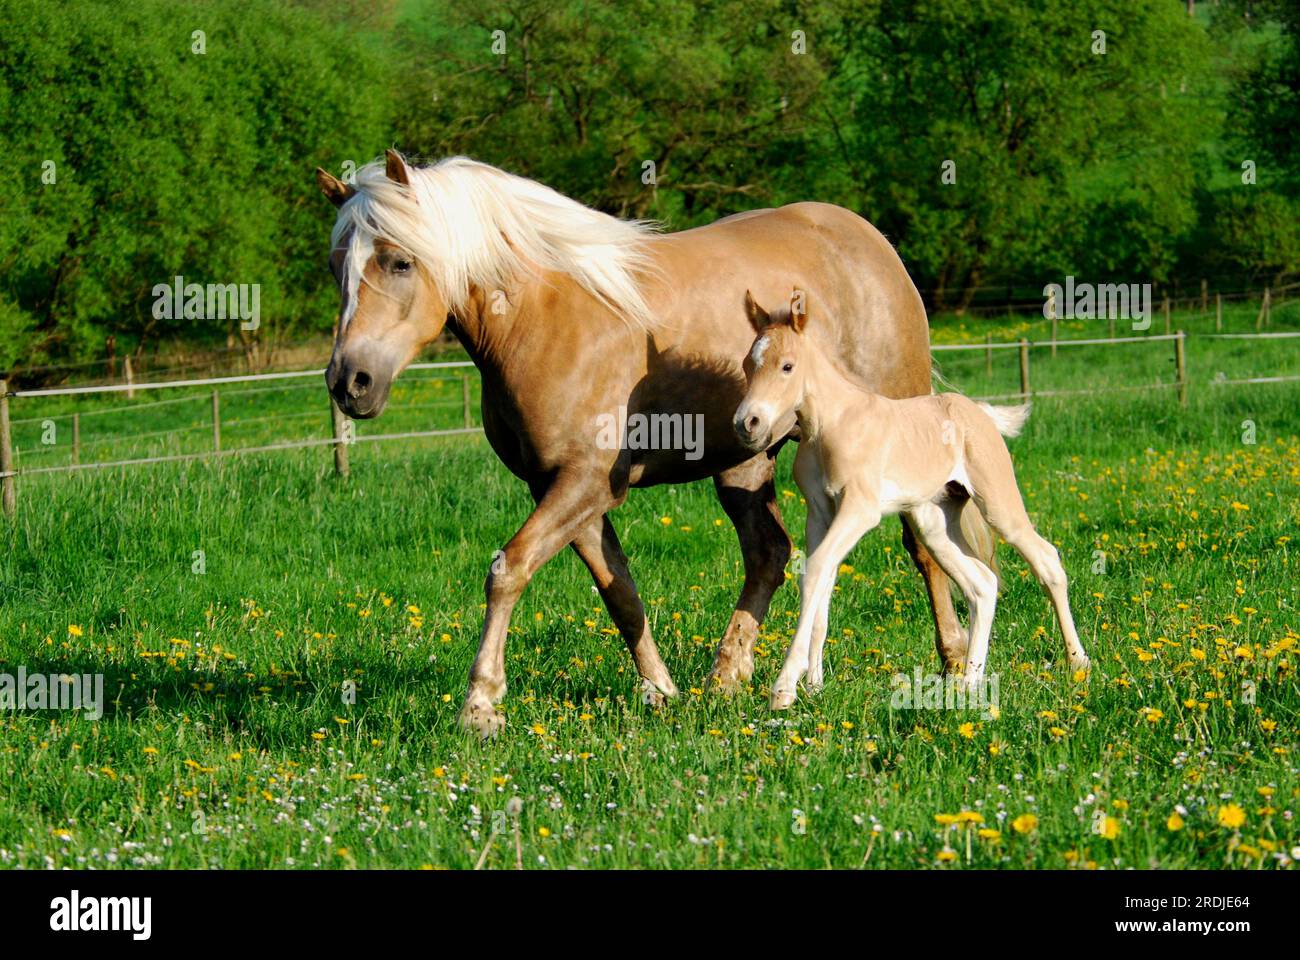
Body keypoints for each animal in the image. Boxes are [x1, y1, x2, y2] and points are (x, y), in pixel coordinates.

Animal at [315, 149, 992, 735]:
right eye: (335, 265)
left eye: (399, 261)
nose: (350, 381)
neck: (545, 321)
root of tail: (875, 248)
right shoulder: (562, 490)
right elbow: (618, 592)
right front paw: (660, 691)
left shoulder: (585, 482)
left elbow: (507, 570)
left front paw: (480, 706)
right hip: (746, 460)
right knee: (770, 554)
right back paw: (726, 679)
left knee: (919, 548)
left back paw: (953, 665)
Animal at [733, 290, 1091, 709]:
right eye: (747, 363)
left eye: (787, 366)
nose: (747, 423)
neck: (830, 425)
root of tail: (979, 412)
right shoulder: (820, 513)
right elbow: (823, 579)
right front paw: (814, 684)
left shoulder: (860, 509)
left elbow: (816, 570)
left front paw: (784, 689)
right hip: (936, 523)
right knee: (982, 584)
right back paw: (969, 684)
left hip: (998, 506)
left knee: (1046, 560)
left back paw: (1077, 663)